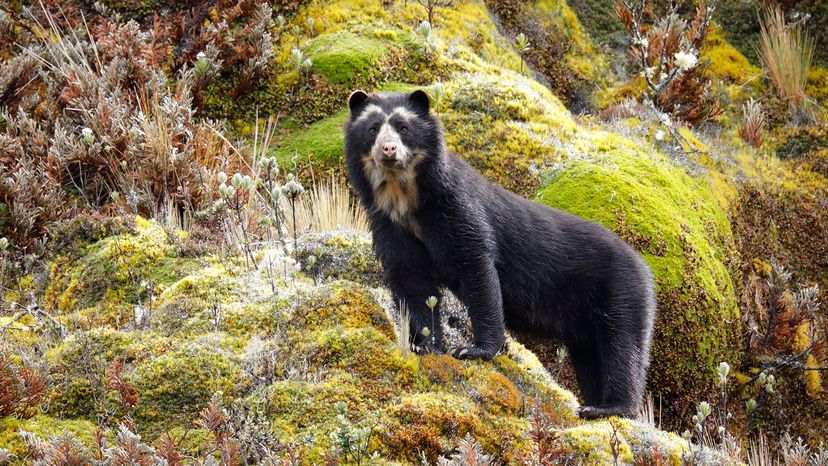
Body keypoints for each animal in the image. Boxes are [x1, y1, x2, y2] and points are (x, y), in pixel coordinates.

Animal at [342, 89, 652, 416]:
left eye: (403, 127)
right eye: (373, 129)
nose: (388, 149)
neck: (404, 197)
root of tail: (644, 266)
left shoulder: (457, 209)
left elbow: (477, 268)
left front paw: (472, 349)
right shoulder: (390, 226)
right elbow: (412, 282)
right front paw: (423, 345)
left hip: (621, 295)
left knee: (622, 348)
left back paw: (609, 408)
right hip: (585, 323)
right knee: (592, 359)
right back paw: (593, 404)